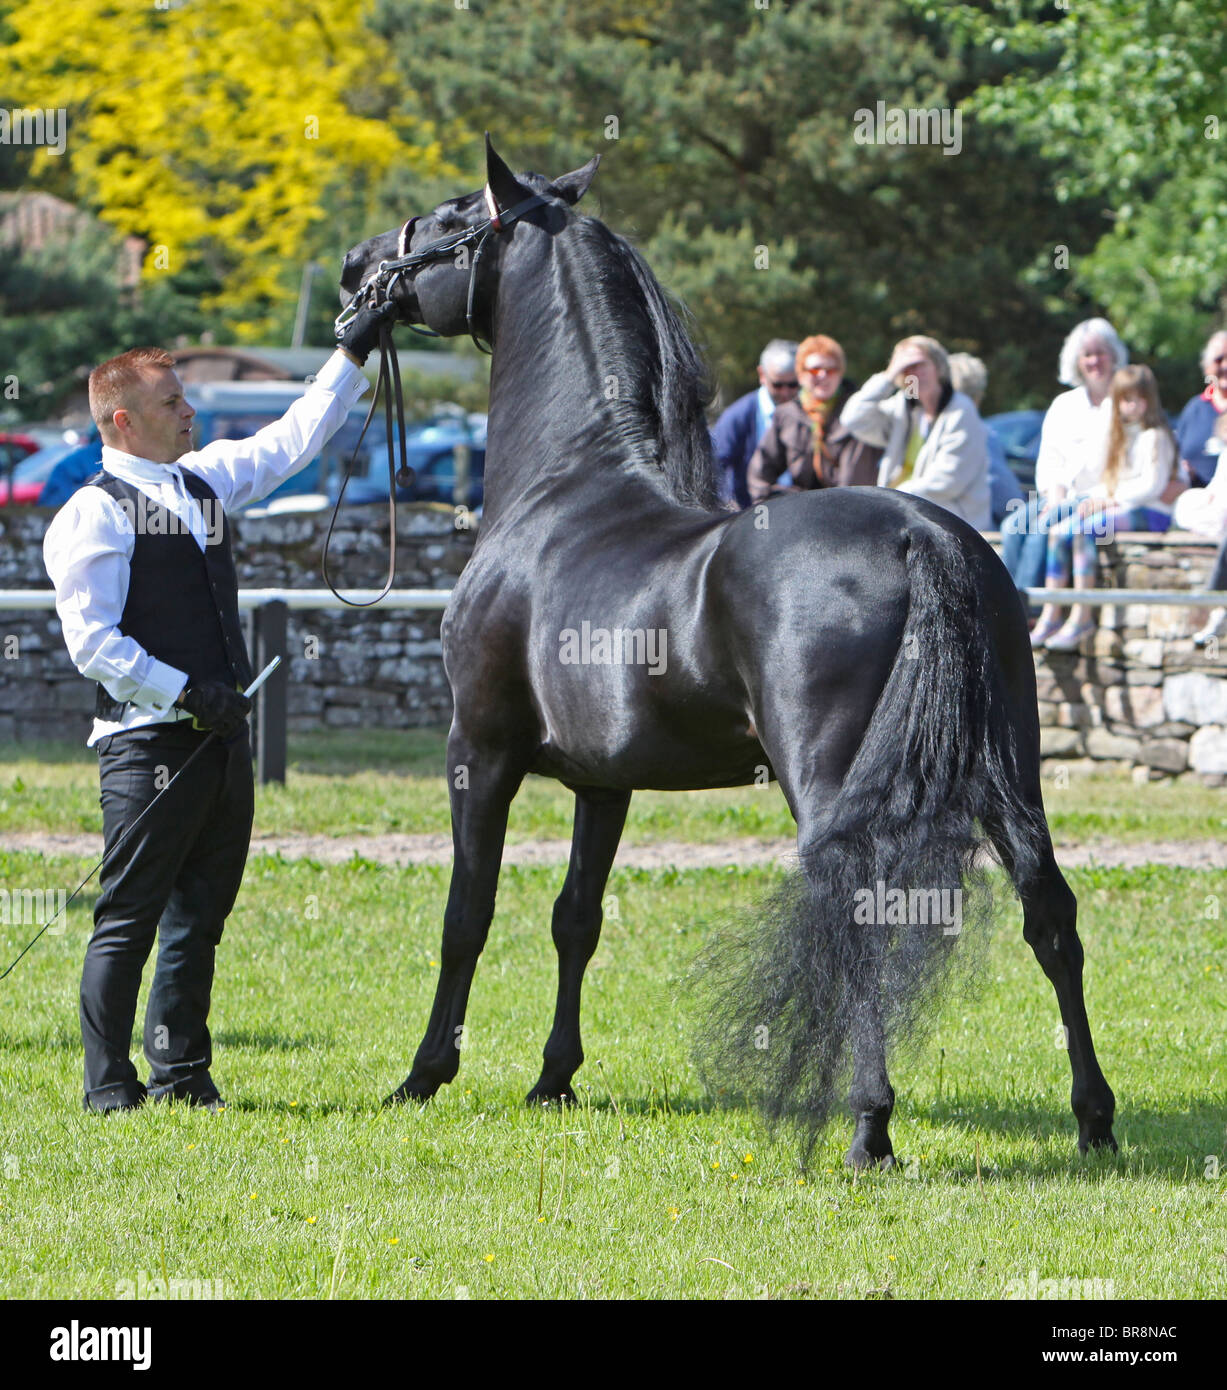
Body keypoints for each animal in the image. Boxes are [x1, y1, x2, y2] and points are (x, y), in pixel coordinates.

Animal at [339, 137, 1117, 1168]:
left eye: (448, 215)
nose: (355, 272)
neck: (561, 490)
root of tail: (921, 531)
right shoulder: (603, 781)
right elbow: (575, 918)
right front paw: (554, 1080)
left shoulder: (480, 750)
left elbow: (467, 916)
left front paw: (424, 1075)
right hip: (1009, 771)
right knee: (1050, 913)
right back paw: (1093, 1119)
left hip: (829, 781)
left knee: (858, 907)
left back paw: (868, 1128)